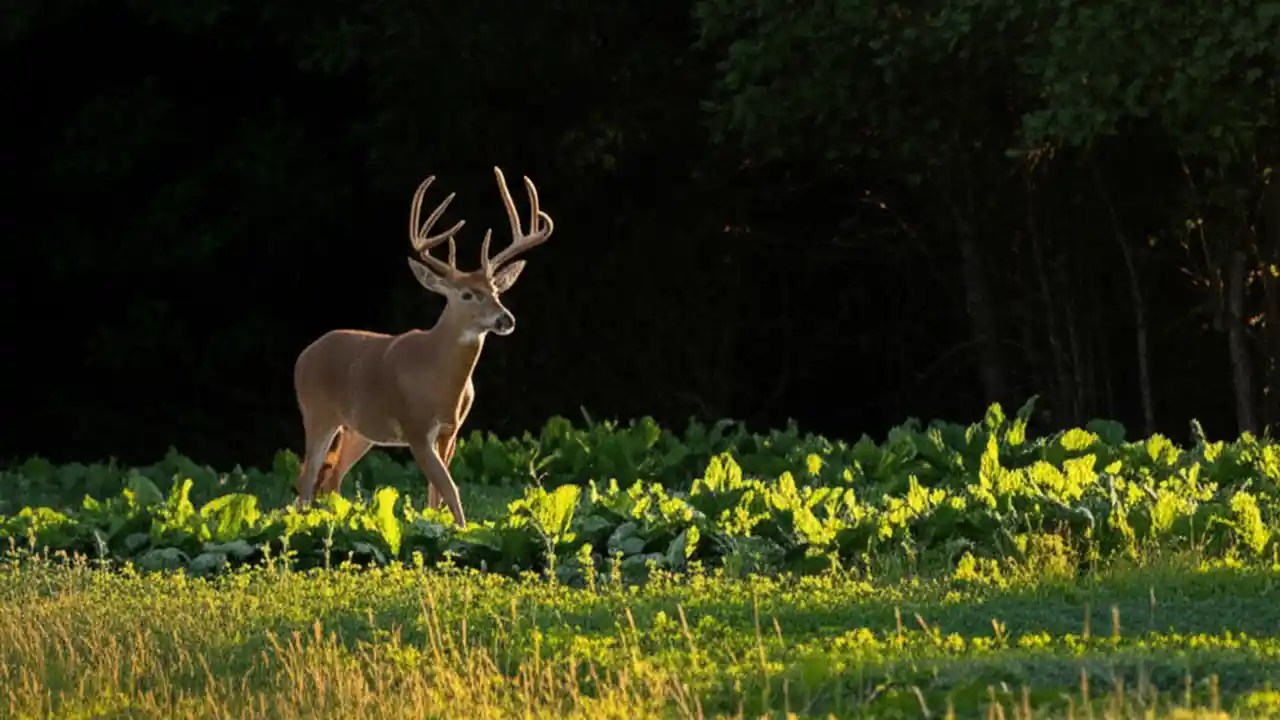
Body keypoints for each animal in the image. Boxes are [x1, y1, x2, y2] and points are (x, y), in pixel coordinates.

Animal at [290, 166, 554, 529]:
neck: (439, 377)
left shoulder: (451, 430)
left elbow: (436, 495)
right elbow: (450, 489)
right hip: (317, 412)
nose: (506, 319)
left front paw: (441, 529)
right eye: (467, 294)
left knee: (331, 479)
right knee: (307, 479)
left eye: (497, 291)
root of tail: (304, 355)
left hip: (359, 429)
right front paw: (461, 531)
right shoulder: (415, 428)